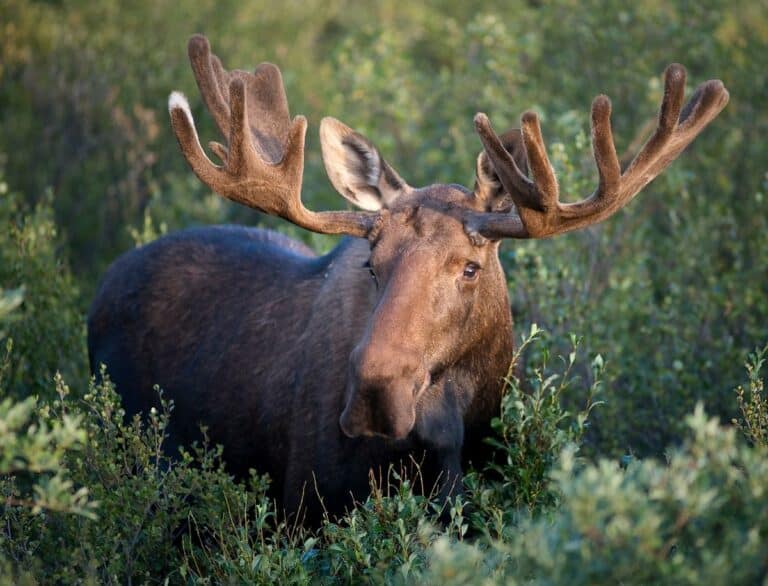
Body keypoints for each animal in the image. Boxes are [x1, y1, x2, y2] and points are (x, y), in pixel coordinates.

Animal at [87, 34, 728, 524]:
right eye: (371, 264)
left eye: (470, 267)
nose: (376, 394)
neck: (446, 439)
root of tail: (106, 279)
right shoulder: (302, 511)